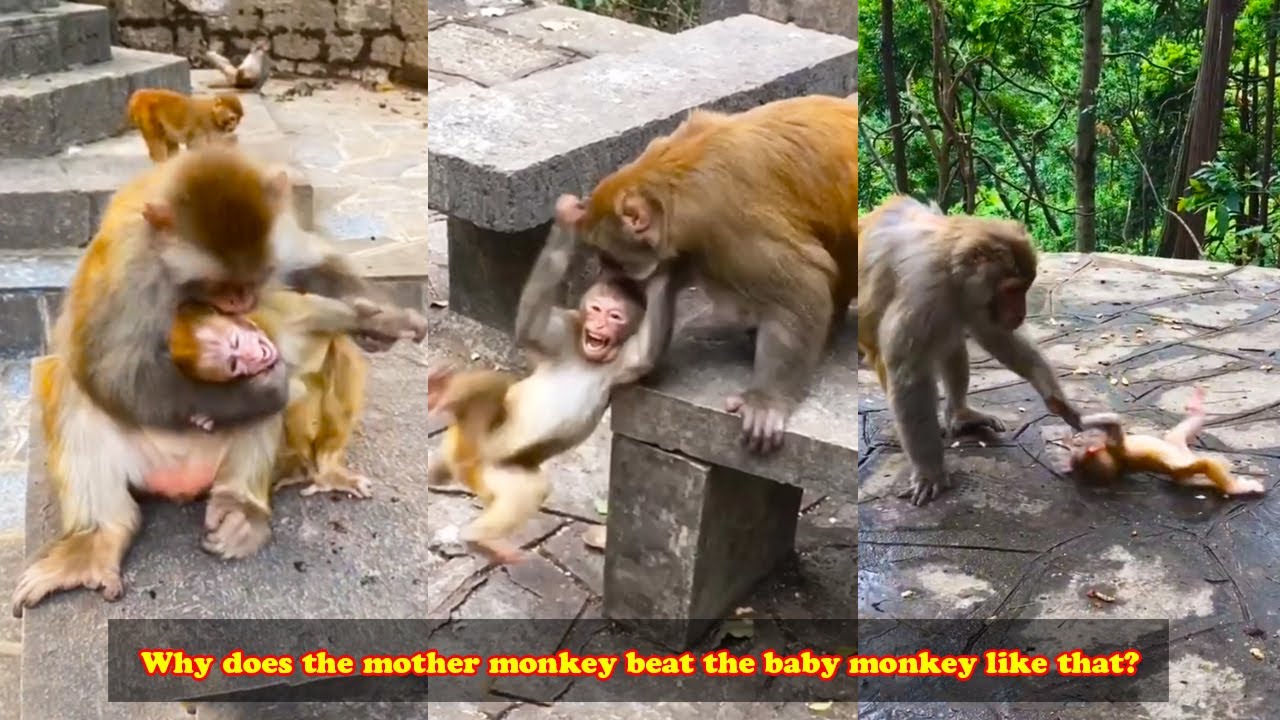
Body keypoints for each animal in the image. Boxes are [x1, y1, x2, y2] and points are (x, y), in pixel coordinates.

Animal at [11, 145, 427, 617]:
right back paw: (99, 536)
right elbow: (107, 370)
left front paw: (383, 322)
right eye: (218, 284)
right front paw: (256, 392)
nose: (240, 300)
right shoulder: (129, 267)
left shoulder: (279, 232)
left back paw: (246, 505)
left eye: (254, 276)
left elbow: (315, 266)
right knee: (67, 382)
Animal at [427, 218, 677, 565]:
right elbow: (530, 327)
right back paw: (441, 392)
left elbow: (647, 353)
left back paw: (479, 539)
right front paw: (568, 219)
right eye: (595, 309)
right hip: (468, 437)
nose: (599, 324)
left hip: (488, 466)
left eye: (614, 315)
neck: (590, 357)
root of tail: (467, 462)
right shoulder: (564, 330)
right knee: (496, 387)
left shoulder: (627, 361)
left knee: (530, 487)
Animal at [555, 94, 857, 454]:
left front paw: (766, 400)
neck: (674, 178)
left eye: (611, 258)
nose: (607, 277)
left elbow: (802, 285)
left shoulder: (727, 223)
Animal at [857, 195, 1084, 507]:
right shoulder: (925, 293)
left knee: (952, 344)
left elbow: (996, 334)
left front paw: (1058, 401)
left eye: (1026, 287)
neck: (953, 273)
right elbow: (908, 375)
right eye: (1012, 290)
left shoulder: (975, 301)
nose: (1021, 314)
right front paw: (930, 472)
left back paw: (961, 415)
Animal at [1067, 387, 1266, 496]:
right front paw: (1081, 420)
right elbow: (1113, 423)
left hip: (1178, 452)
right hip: (1179, 459)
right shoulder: (1115, 448)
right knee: (1205, 463)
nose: (1080, 446)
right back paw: (1233, 488)